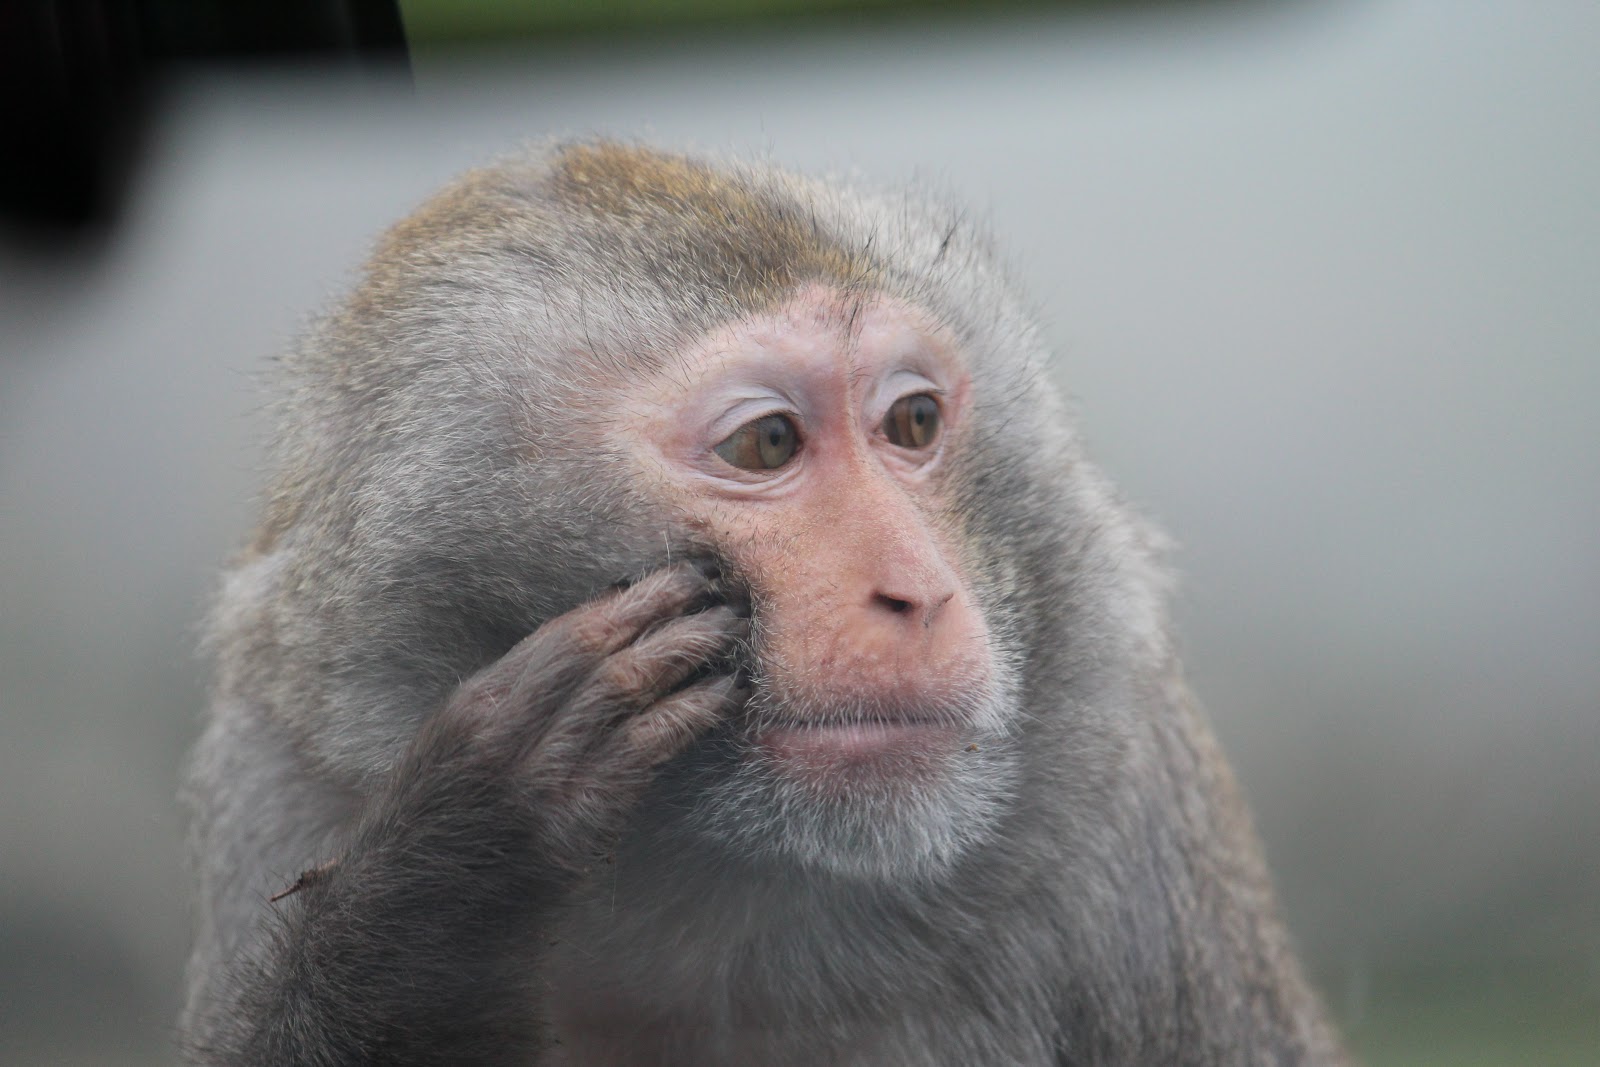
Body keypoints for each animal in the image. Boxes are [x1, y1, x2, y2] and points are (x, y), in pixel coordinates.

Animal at [179, 140, 1347, 1066]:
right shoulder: (277, 772)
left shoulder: (1125, 785)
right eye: (766, 442)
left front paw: (457, 869)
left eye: (913, 420)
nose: (918, 591)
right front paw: (449, 880)